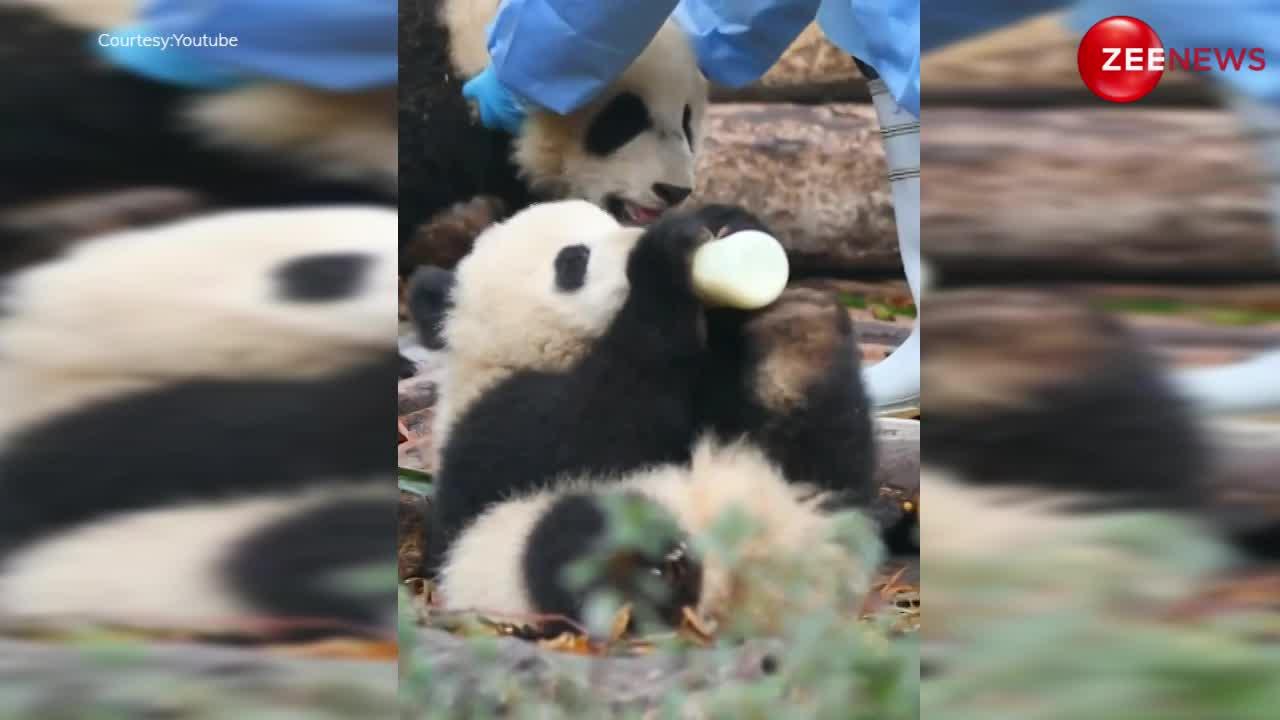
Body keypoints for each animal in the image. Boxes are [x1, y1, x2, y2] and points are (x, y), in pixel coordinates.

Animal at [406, 200, 876, 630]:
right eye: (573, 261)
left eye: (615, 220)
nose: (637, 240)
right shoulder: (495, 421)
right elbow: (599, 419)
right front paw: (663, 258)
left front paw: (728, 220)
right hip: (503, 551)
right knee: (576, 537)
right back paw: (661, 570)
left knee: (828, 467)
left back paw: (803, 340)